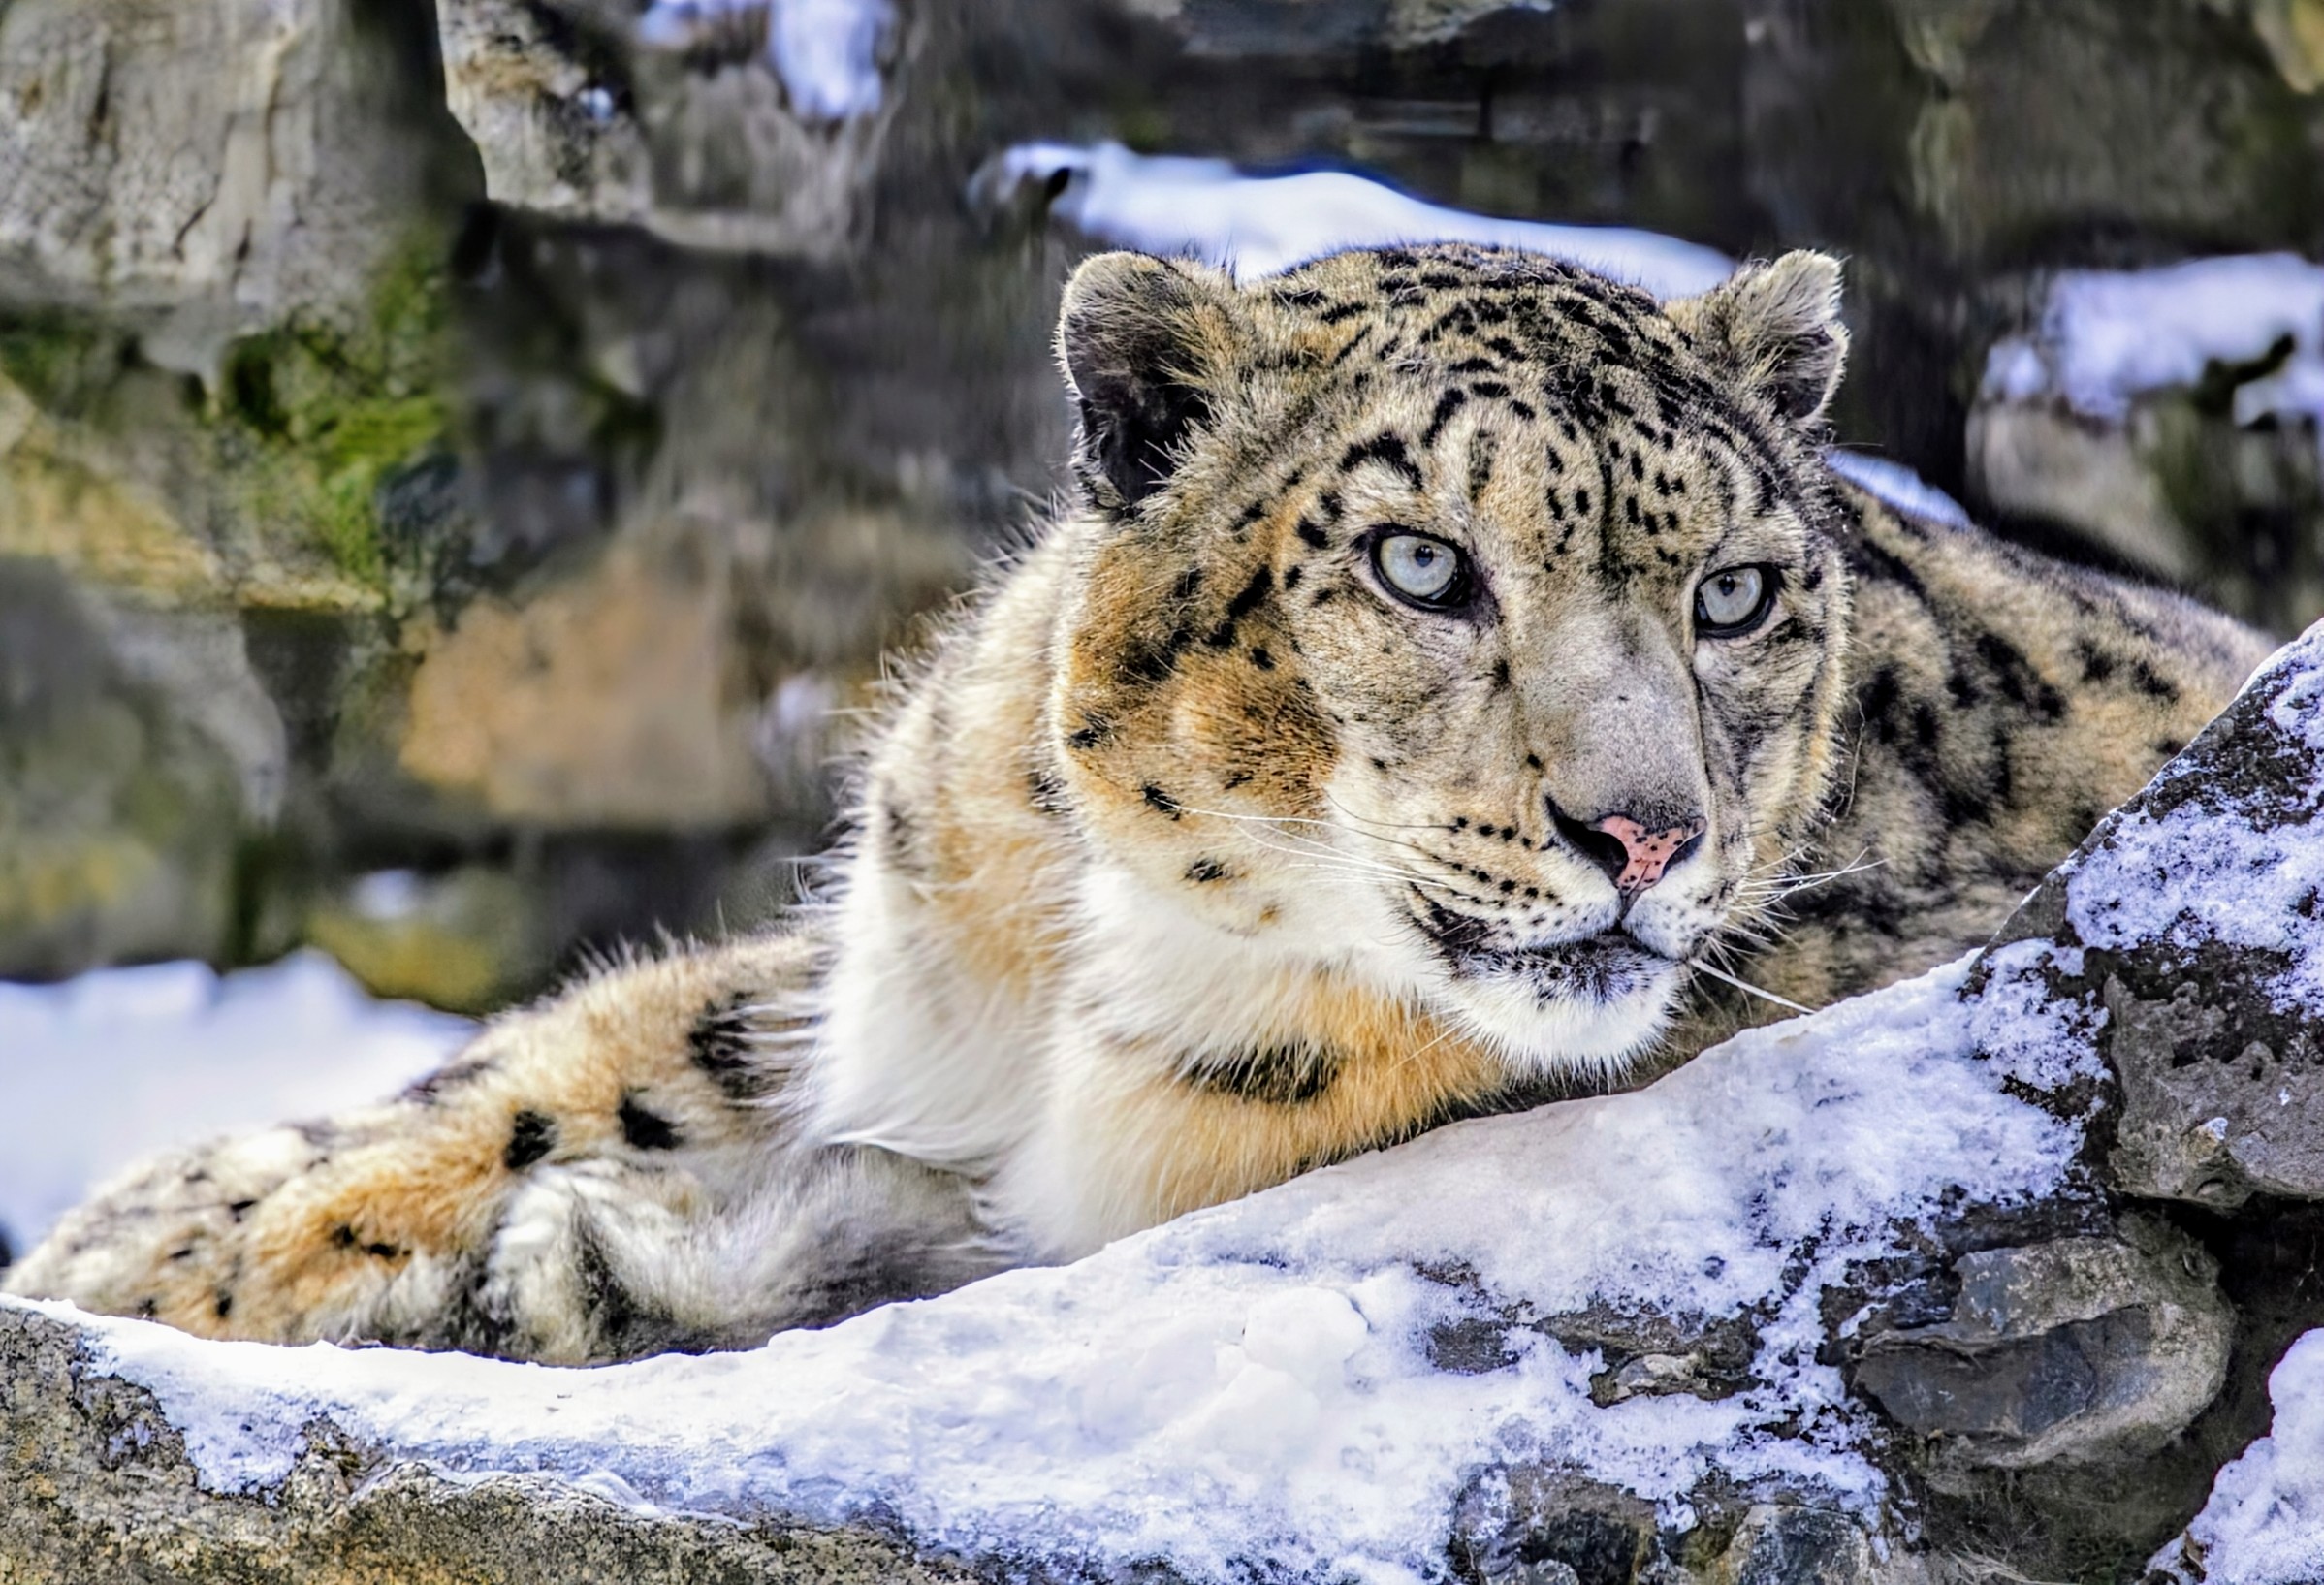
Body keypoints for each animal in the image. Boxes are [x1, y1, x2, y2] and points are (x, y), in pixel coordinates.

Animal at [6, 243, 2273, 1365]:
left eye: (1731, 592)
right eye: (1422, 565)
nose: (1643, 835)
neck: (1082, 970)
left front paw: (615, 1260)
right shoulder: (874, 973)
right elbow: (599, 1048)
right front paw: (145, 1233)